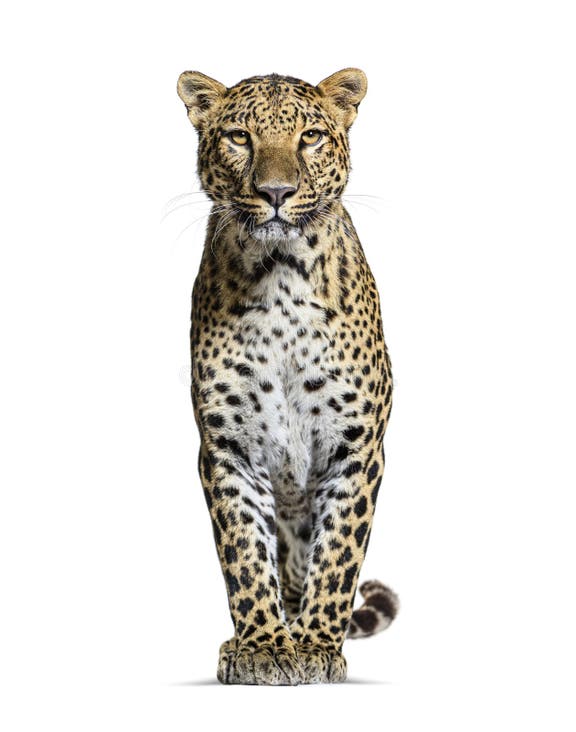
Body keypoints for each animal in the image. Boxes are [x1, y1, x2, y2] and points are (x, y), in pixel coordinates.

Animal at [176, 68, 398, 685]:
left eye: (311, 138)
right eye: (239, 137)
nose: (276, 193)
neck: (280, 280)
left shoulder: (357, 447)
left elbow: (339, 556)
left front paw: (318, 646)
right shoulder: (227, 447)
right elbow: (244, 555)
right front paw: (262, 647)